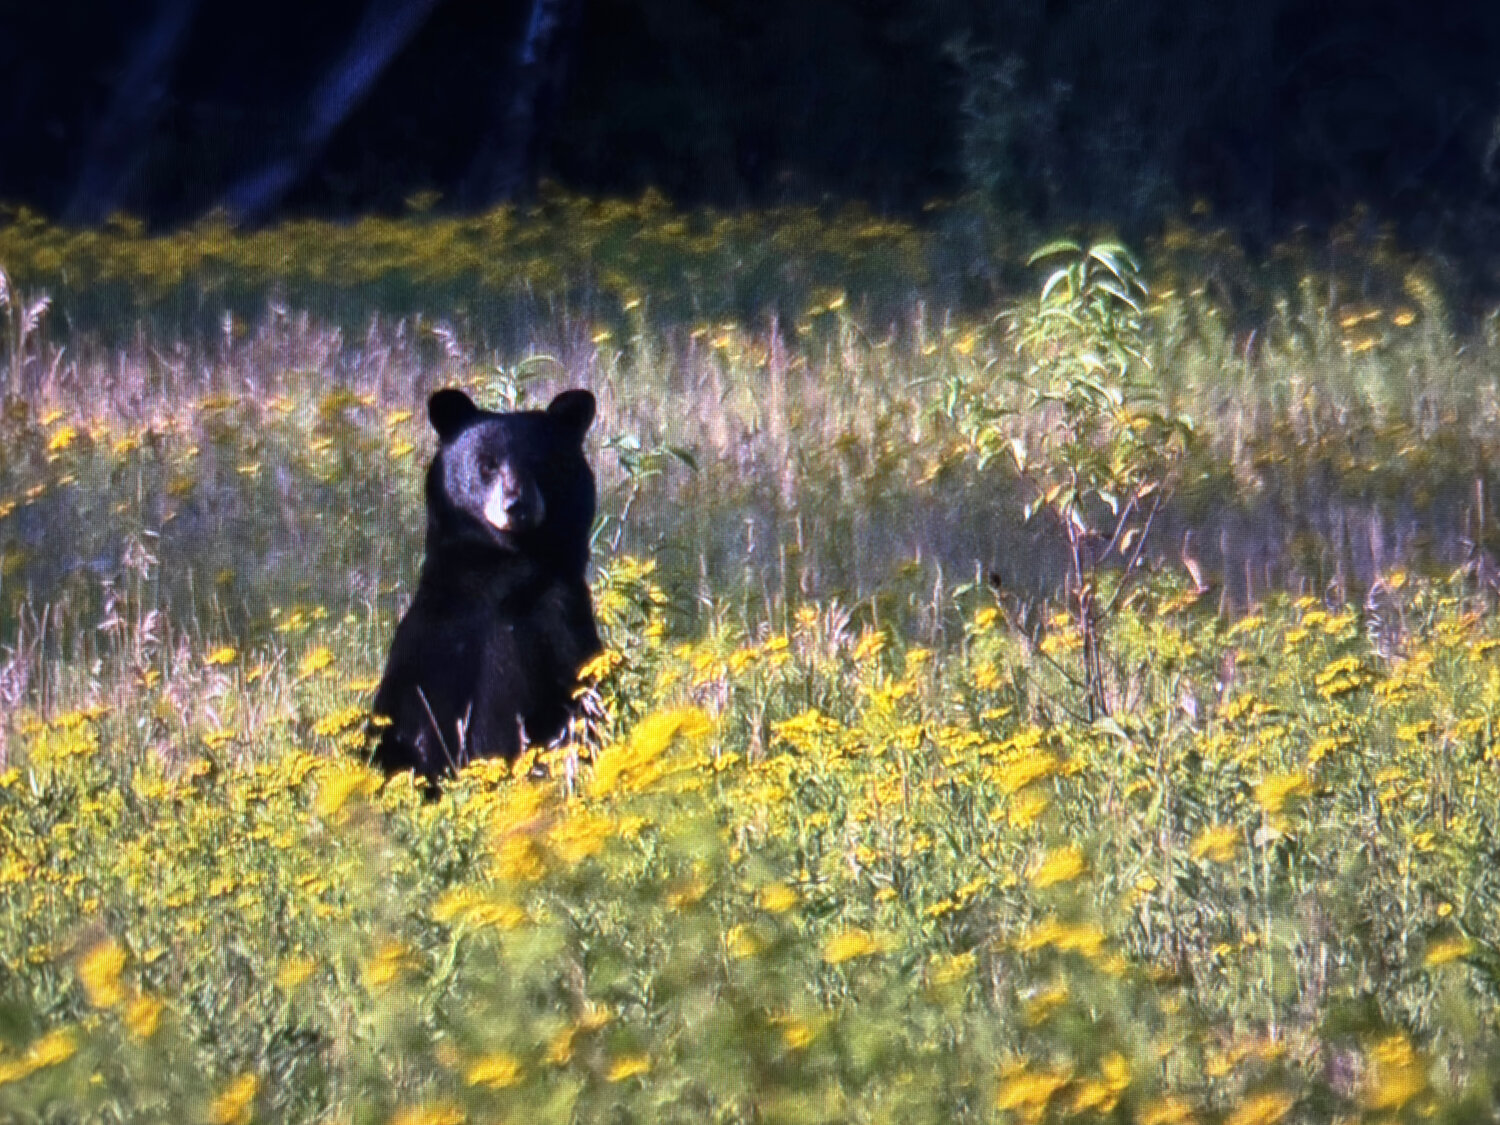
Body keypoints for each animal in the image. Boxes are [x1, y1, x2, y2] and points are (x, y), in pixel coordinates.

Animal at [370, 387, 602, 786]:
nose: (516, 505)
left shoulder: (564, 622)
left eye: (541, 461)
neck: (504, 576)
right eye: (488, 465)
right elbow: (405, 723)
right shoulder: (431, 645)